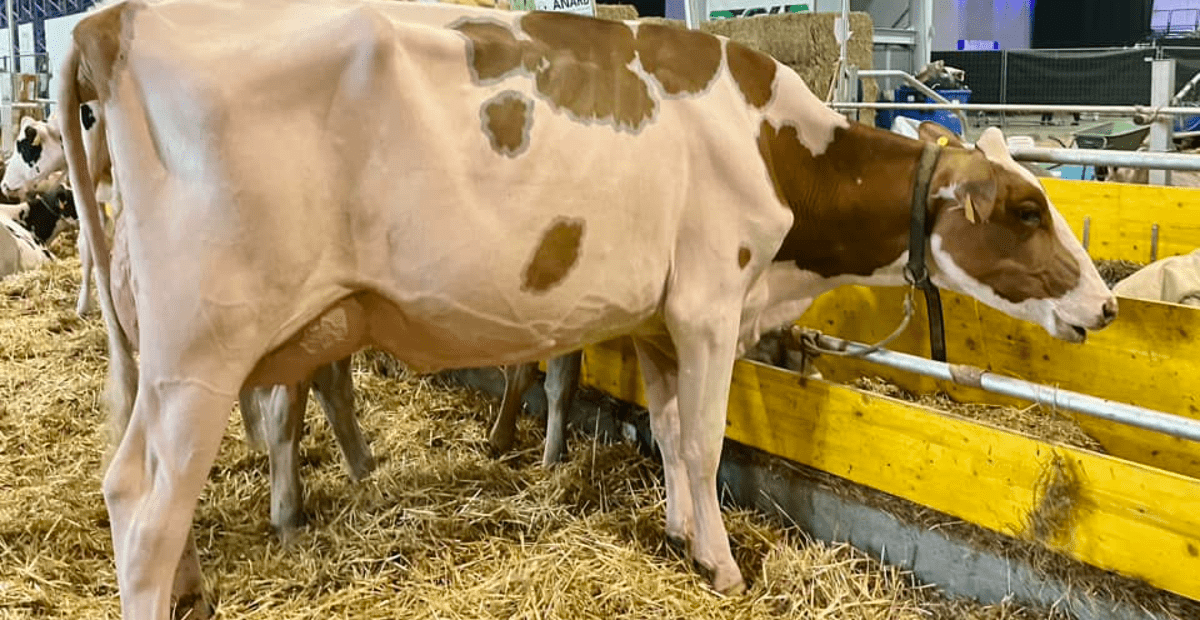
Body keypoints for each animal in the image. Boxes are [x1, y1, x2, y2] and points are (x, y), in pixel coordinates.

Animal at [58, 1, 1117, 618]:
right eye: (1027, 211)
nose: (1105, 305)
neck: (773, 147)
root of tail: (112, 20)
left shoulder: (657, 320)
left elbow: (671, 432)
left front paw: (686, 537)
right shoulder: (708, 303)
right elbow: (705, 441)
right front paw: (725, 566)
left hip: (165, 353)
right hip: (201, 352)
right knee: (141, 499)